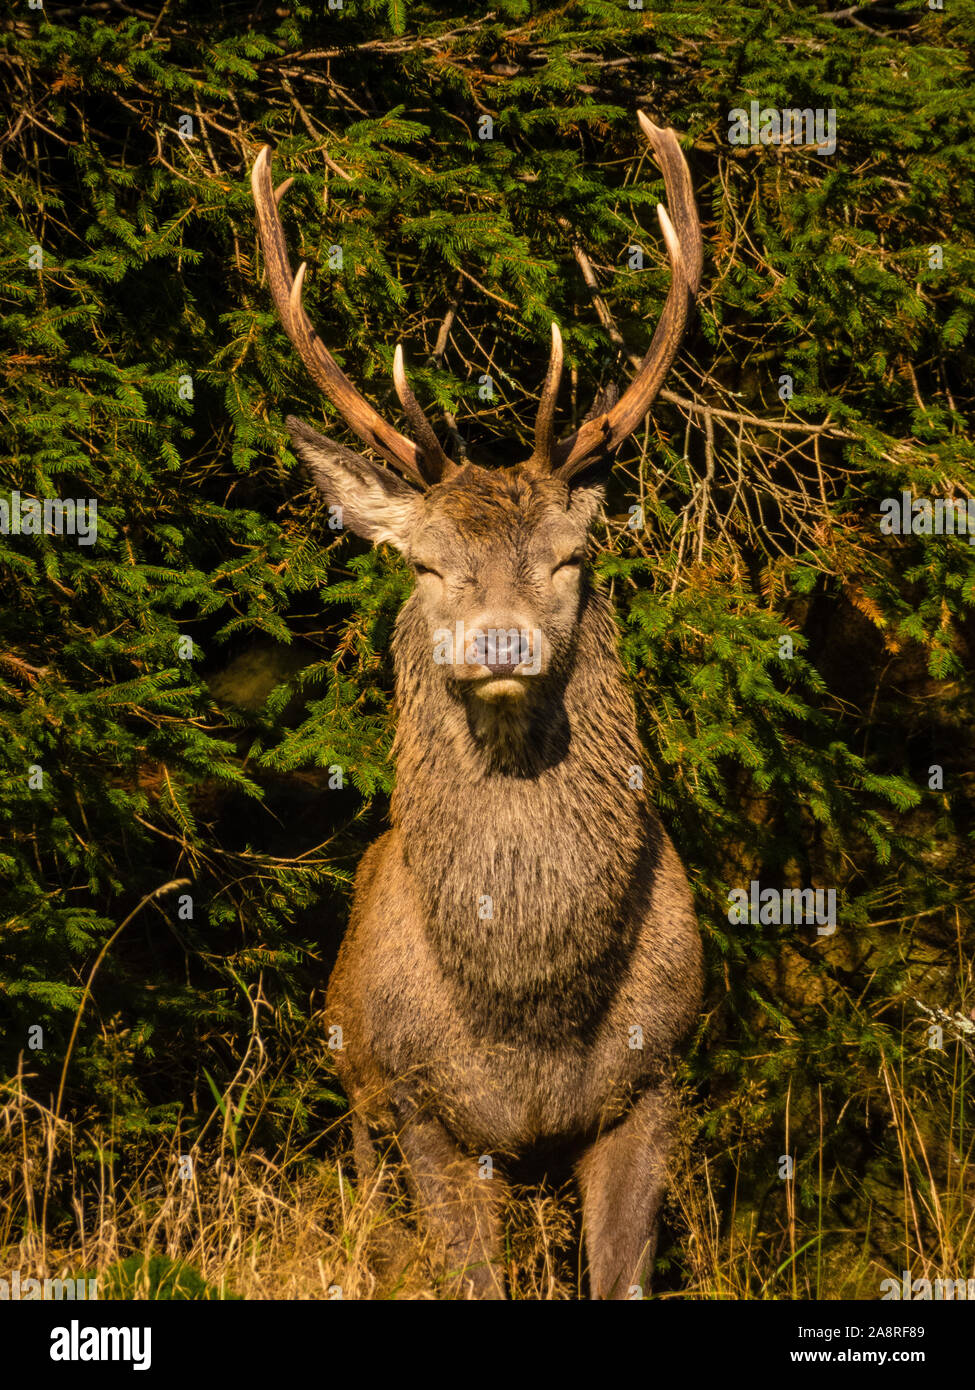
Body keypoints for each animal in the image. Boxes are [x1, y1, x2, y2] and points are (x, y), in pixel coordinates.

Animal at [250, 112, 704, 1300]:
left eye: (573, 555)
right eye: (422, 563)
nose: (500, 640)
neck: (529, 1015)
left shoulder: (657, 1078)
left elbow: (622, 1276)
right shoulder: (422, 1107)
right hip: (356, 1097)